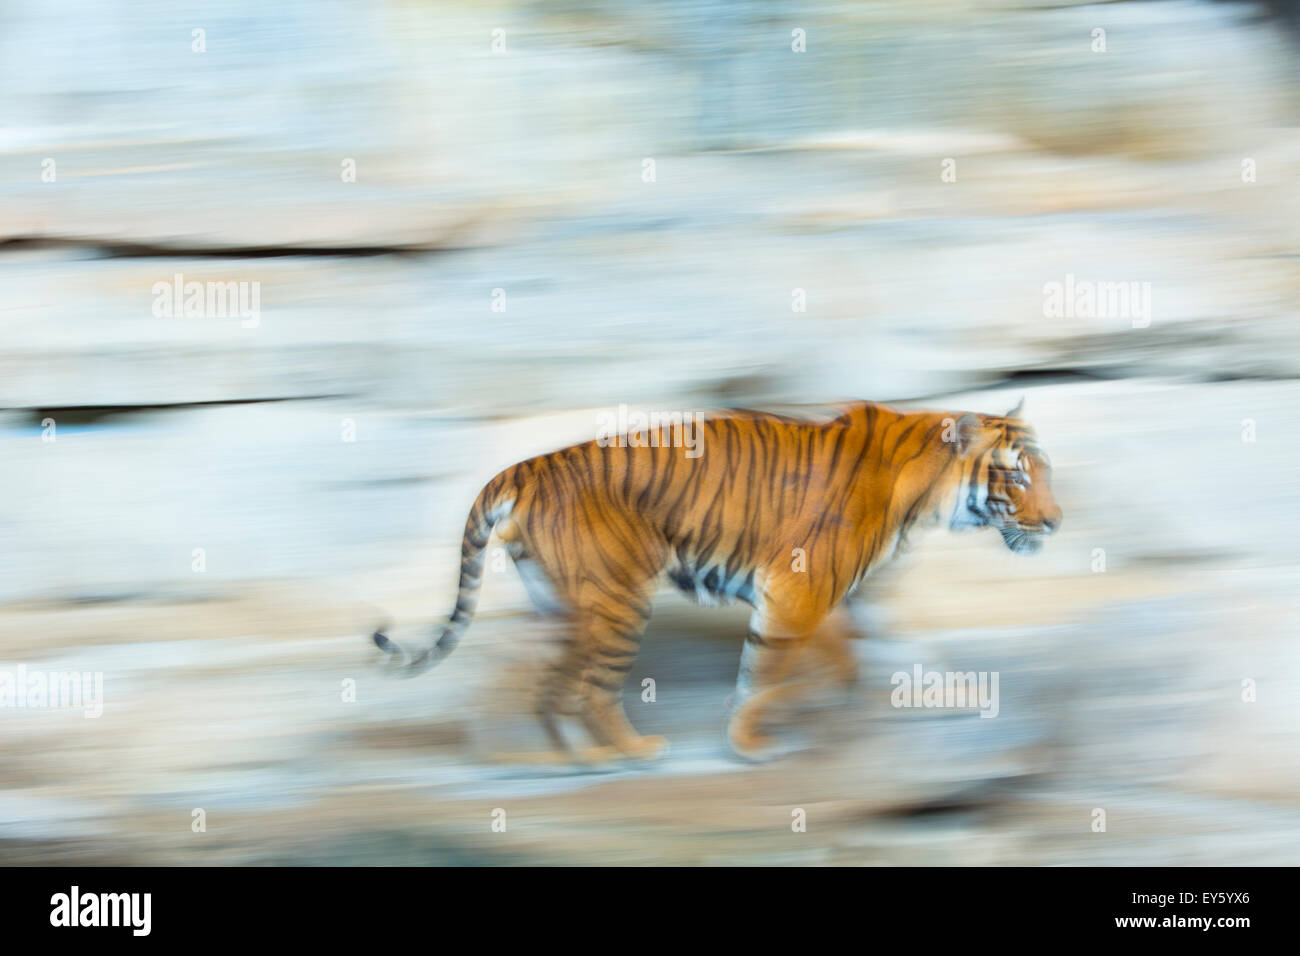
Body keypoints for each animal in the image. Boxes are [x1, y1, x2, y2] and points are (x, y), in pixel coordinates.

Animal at [372, 398, 1061, 762]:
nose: (1056, 522)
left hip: (559, 604)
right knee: (589, 687)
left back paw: (562, 755)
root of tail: (527, 466)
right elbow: (776, 668)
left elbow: (902, 649)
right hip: (617, 599)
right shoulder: (800, 592)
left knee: (535, 679)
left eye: (1045, 473)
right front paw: (755, 738)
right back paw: (632, 752)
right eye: (1017, 476)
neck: (926, 500)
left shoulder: (858, 595)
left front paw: (956, 694)